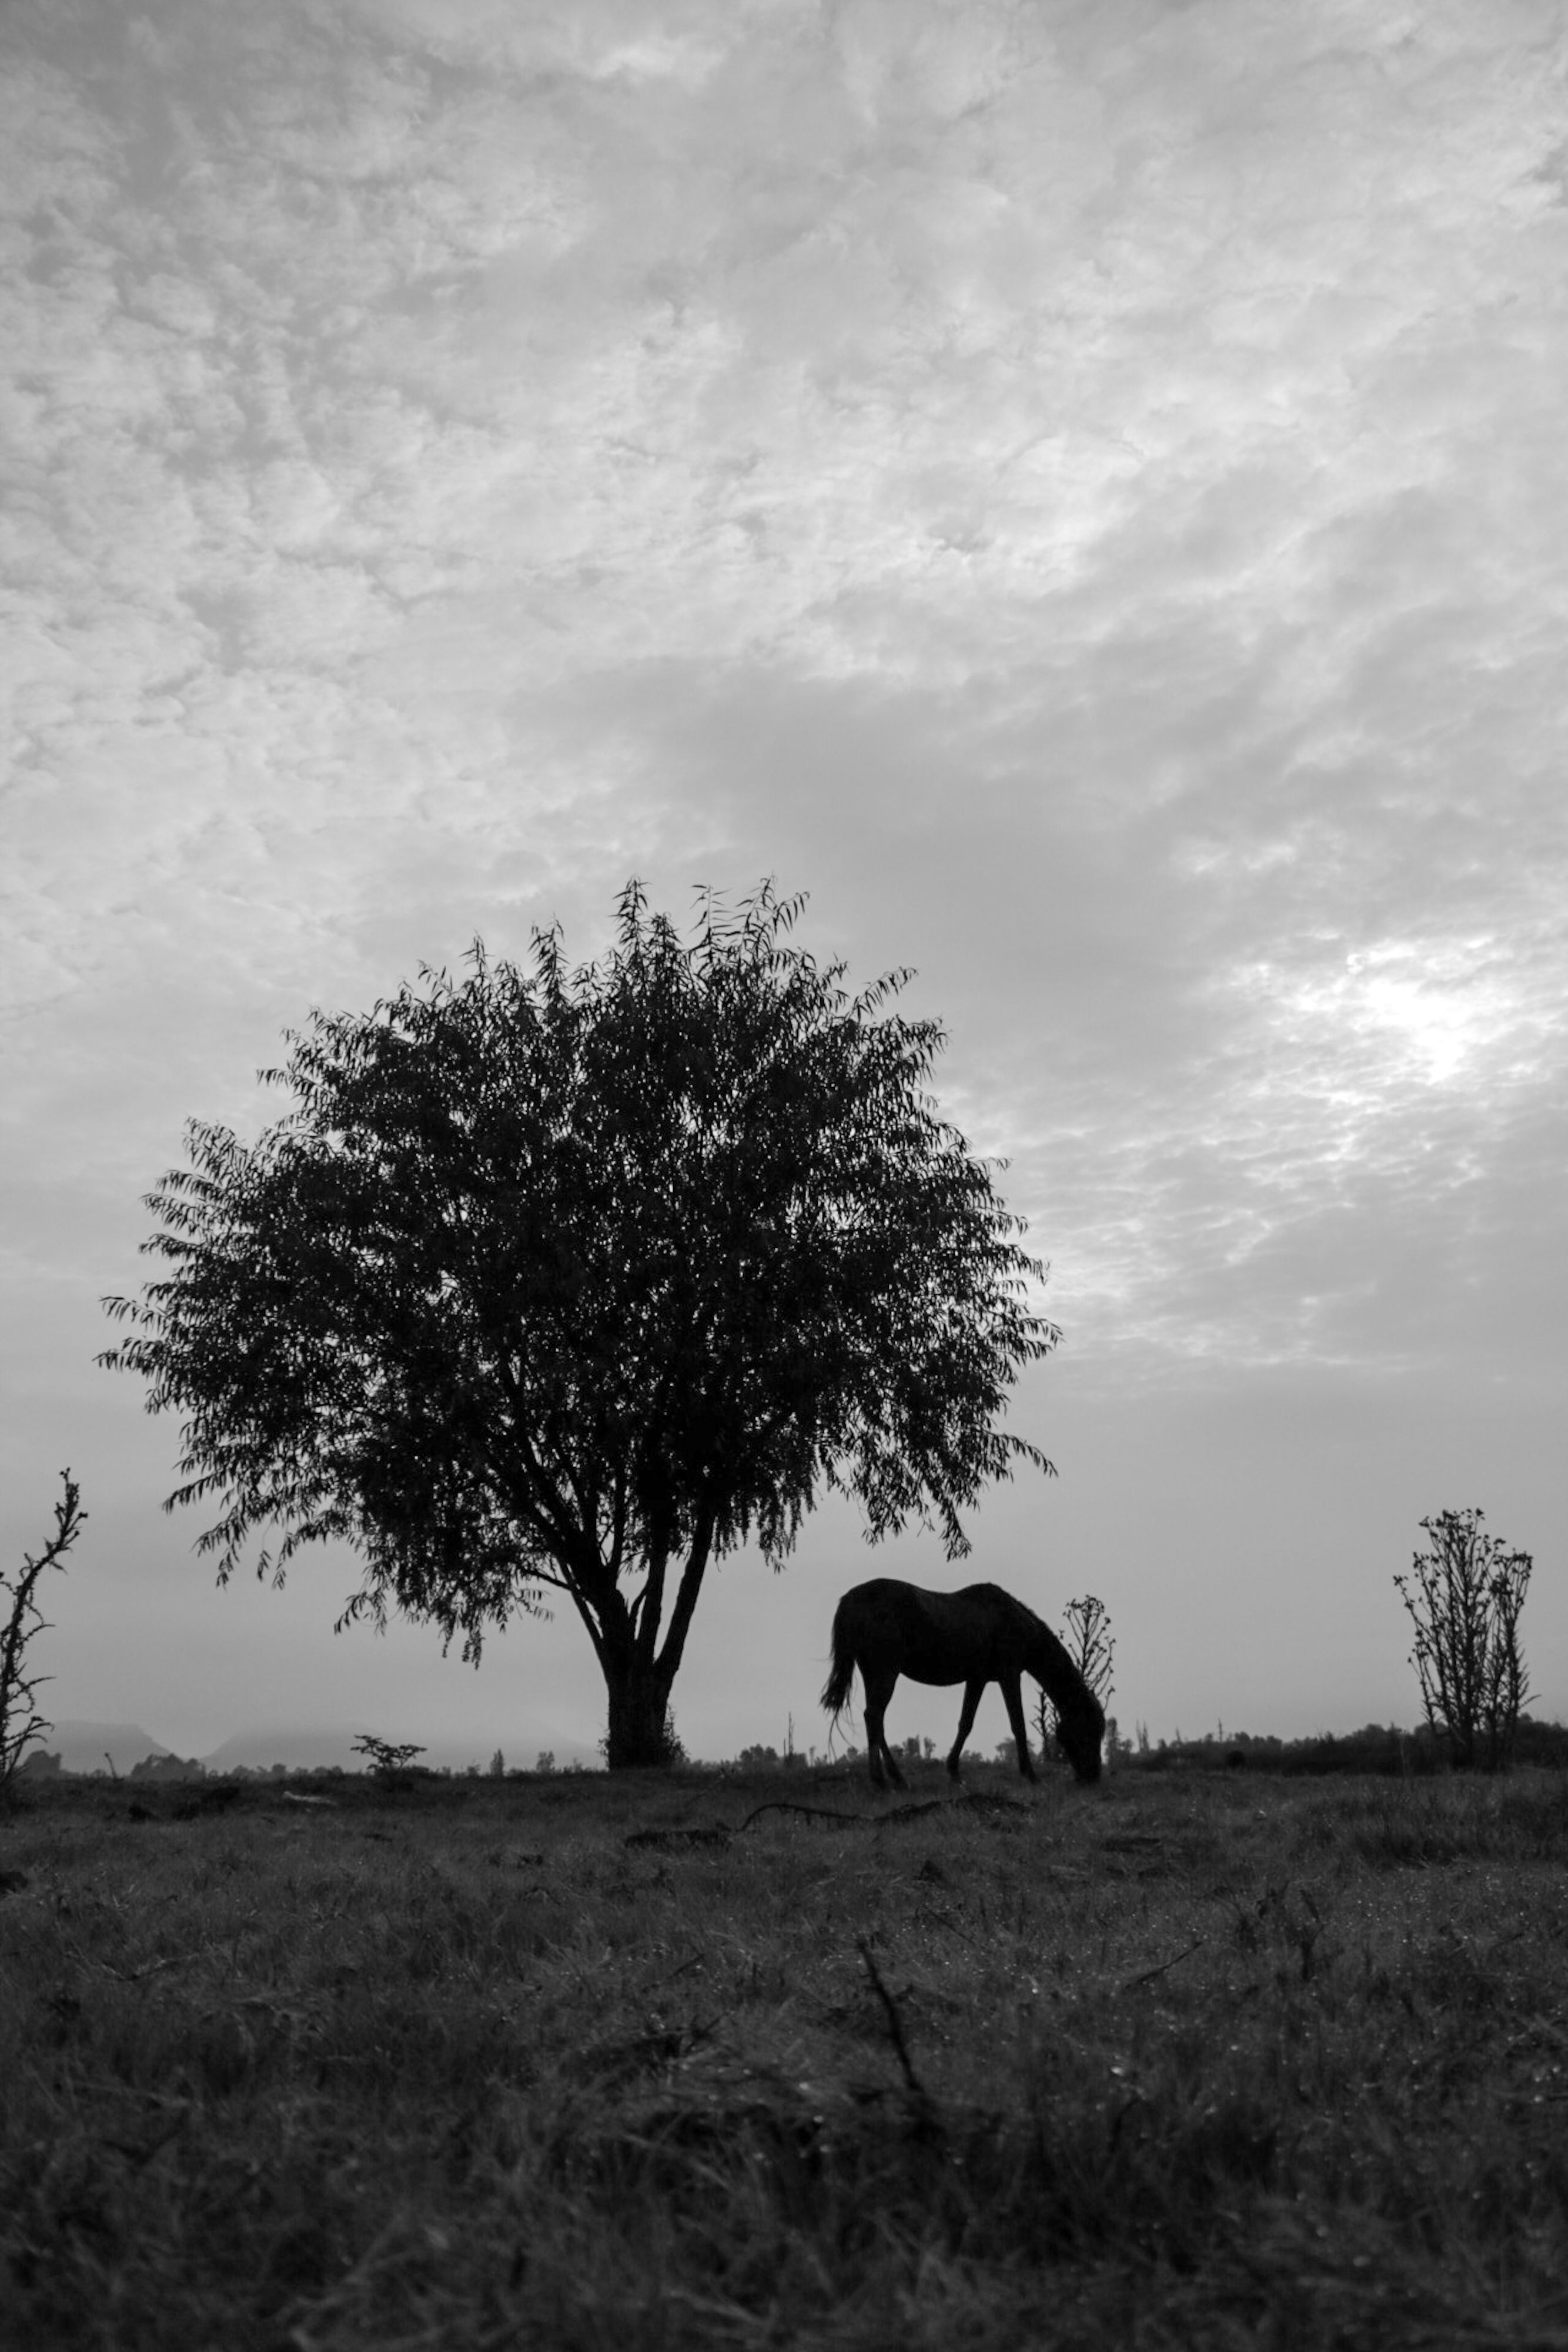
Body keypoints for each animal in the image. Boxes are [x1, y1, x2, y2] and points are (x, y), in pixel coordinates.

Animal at [821, 1578, 1105, 1791]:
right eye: (1089, 1731)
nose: (1093, 1777)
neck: (1011, 1620)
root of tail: (851, 1599)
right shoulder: (1009, 1674)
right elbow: (1018, 1725)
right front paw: (1030, 1775)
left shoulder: (977, 1679)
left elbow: (966, 1723)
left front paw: (954, 1771)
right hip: (885, 1672)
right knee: (874, 1716)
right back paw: (885, 1780)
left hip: (873, 1674)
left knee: (875, 1720)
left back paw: (893, 1779)